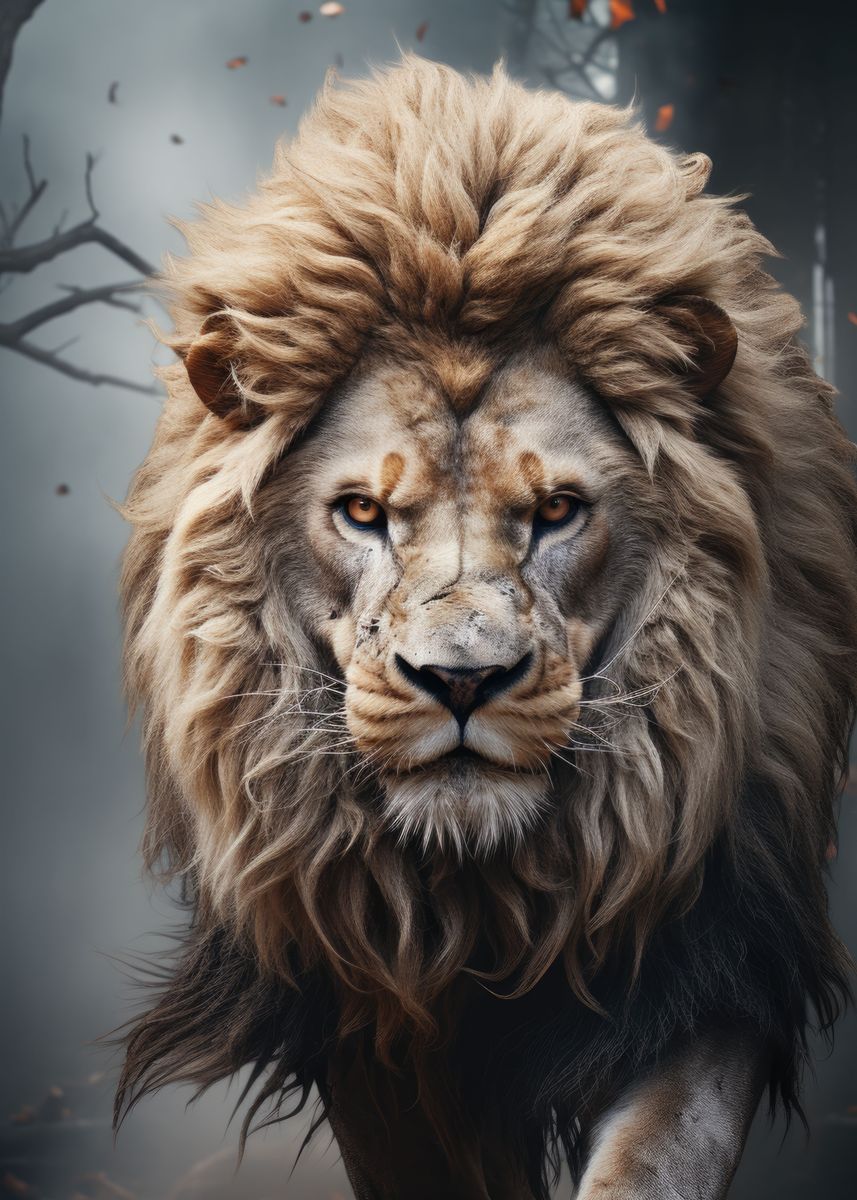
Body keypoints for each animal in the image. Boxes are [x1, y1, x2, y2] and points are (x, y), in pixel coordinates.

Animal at [115, 56, 857, 1200]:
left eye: (555, 509)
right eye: (361, 512)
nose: (460, 683)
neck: (484, 895)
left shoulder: (714, 954)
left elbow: (651, 1159)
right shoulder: (359, 1003)